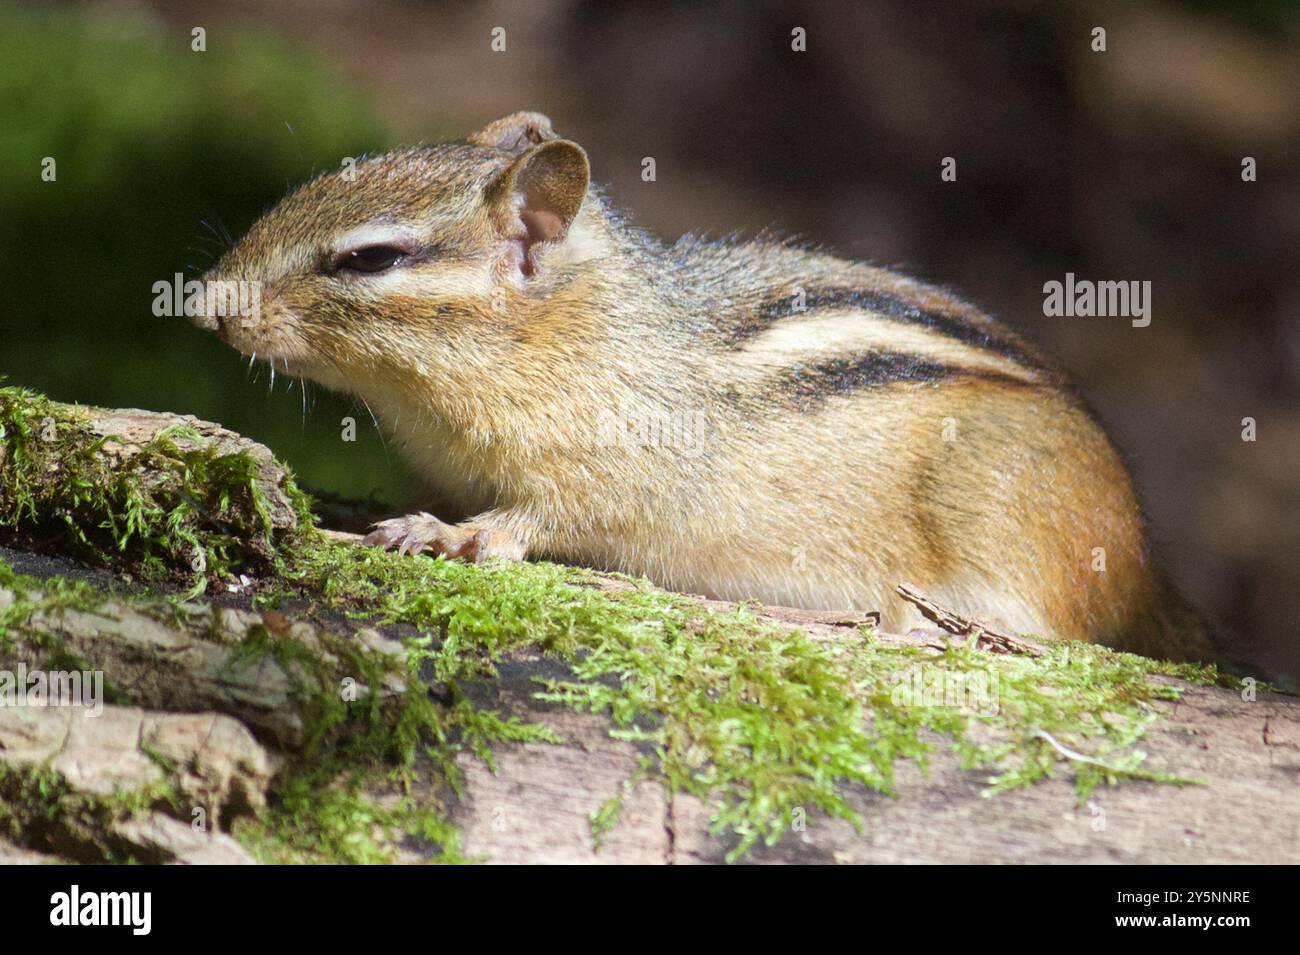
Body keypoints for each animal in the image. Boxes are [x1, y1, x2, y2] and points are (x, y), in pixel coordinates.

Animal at [194, 111, 1227, 667]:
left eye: (371, 258)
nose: (204, 300)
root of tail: (1149, 575)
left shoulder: (612, 463)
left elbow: (540, 518)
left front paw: (451, 533)